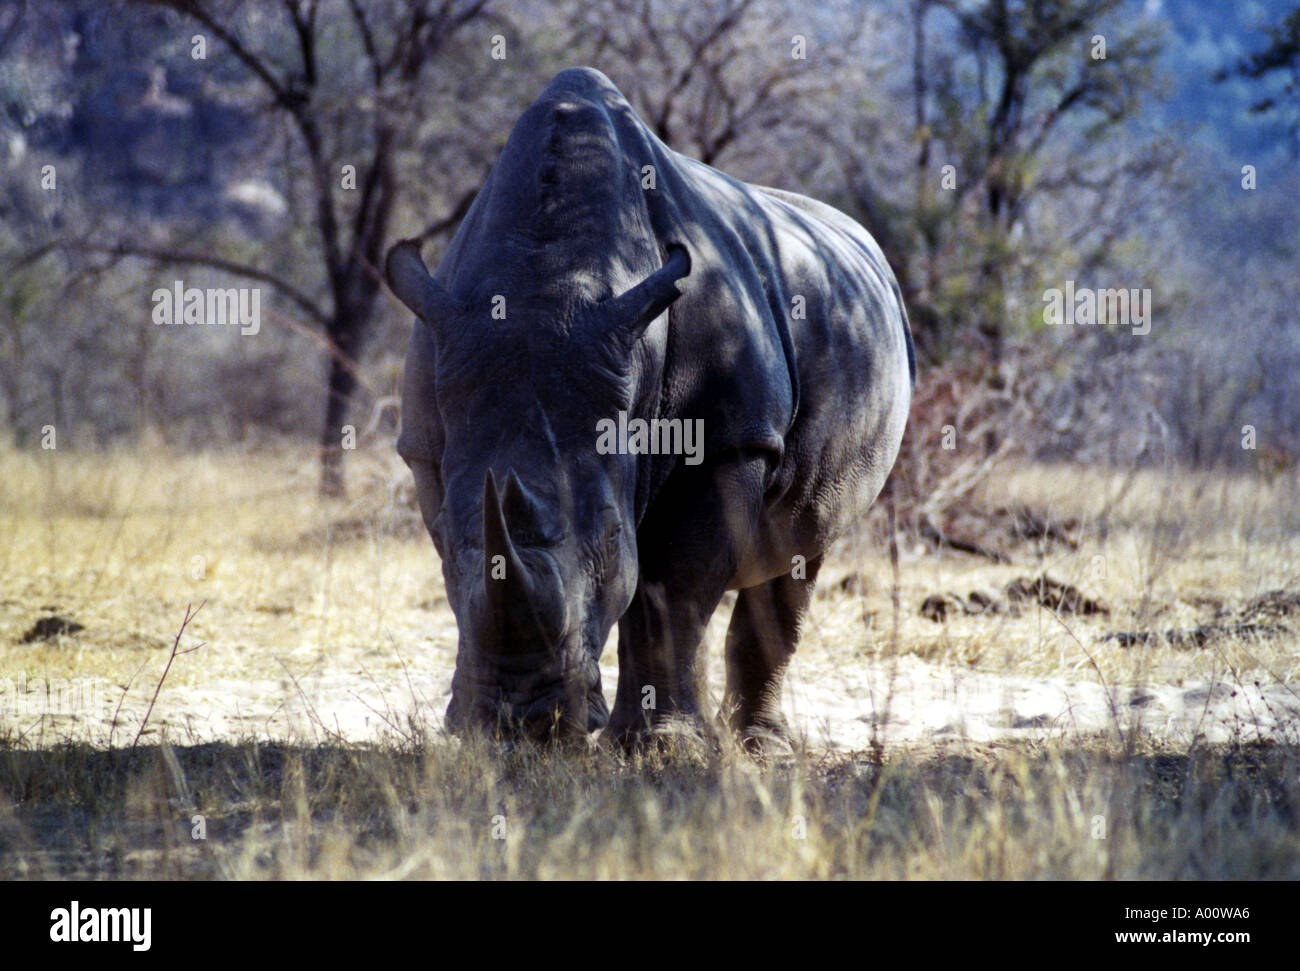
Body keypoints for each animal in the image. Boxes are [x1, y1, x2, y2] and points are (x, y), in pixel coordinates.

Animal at [387, 67, 914, 750]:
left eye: (614, 538)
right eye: (448, 538)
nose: (522, 722)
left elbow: (673, 587)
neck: (547, 281)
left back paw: (761, 746)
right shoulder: (428, 441)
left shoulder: (727, 438)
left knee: (802, 543)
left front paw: (661, 747)